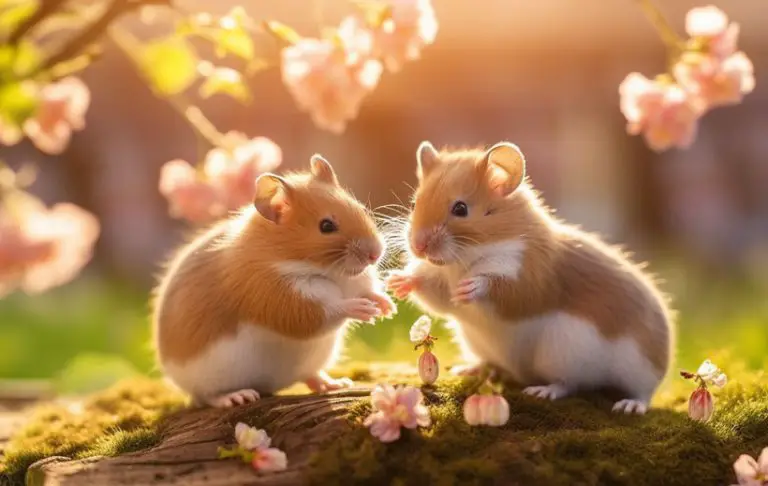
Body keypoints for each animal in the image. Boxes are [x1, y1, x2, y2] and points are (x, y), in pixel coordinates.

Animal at [152, 154, 395, 408]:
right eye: (326, 226)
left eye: (361, 208)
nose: (375, 254)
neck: (328, 271)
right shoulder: (277, 297)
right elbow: (325, 312)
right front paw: (360, 308)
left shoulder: (355, 283)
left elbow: (368, 291)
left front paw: (385, 305)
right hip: (207, 378)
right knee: (206, 396)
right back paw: (235, 396)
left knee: (310, 376)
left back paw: (331, 383)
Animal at [387, 141, 673, 415]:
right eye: (414, 203)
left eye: (460, 208)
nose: (418, 246)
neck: (463, 259)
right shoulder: (442, 286)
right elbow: (435, 296)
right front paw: (399, 281)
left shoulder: (531, 276)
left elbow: (504, 290)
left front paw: (472, 287)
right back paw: (471, 368)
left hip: (590, 359)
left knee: (605, 387)